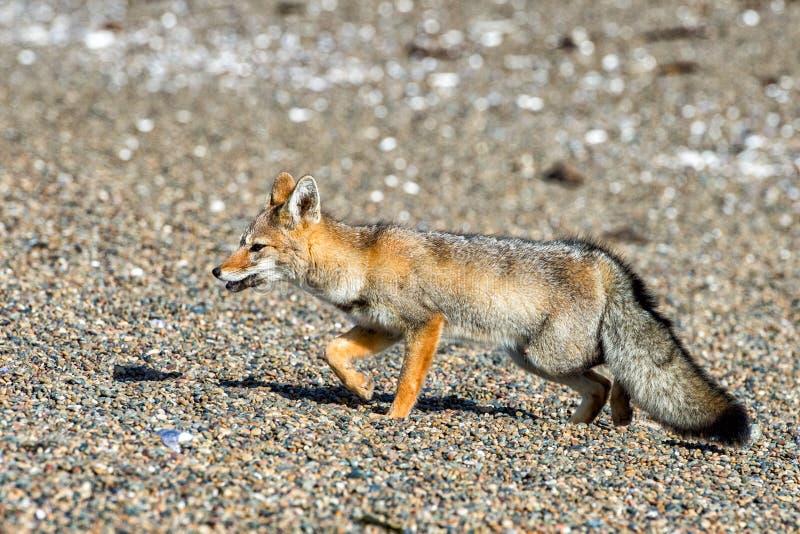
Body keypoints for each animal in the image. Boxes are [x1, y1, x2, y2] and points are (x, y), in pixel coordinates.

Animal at [212, 171, 751, 446]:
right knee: (601, 382)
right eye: (240, 244)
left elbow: (408, 382)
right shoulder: (381, 326)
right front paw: (361, 388)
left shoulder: (425, 324)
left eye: (255, 248)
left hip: (551, 356)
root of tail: (600, 258)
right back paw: (583, 425)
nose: (217, 271)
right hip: (532, 359)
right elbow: (332, 351)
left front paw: (393, 418)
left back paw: (618, 412)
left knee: (619, 369)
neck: (361, 261)